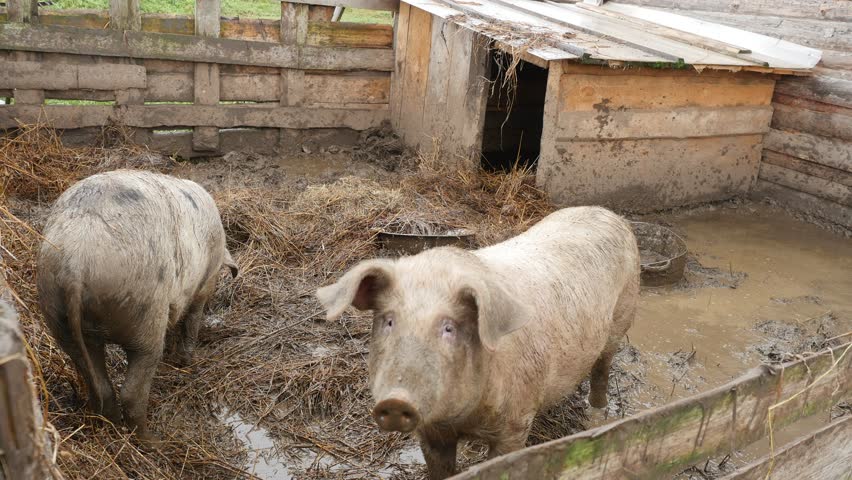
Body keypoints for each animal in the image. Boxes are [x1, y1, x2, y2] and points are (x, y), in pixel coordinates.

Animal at [37, 169, 238, 443]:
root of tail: (75, 266)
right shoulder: (204, 283)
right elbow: (192, 320)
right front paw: (187, 362)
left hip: (56, 313)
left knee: (97, 382)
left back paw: (109, 425)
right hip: (145, 312)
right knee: (134, 387)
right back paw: (155, 442)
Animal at [316, 206, 639, 479]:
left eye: (449, 328)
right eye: (389, 321)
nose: (396, 401)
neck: (462, 420)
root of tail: (610, 213)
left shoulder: (515, 424)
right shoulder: (432, 432)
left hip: (622, 315)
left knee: (602, 369)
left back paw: (597, 417)